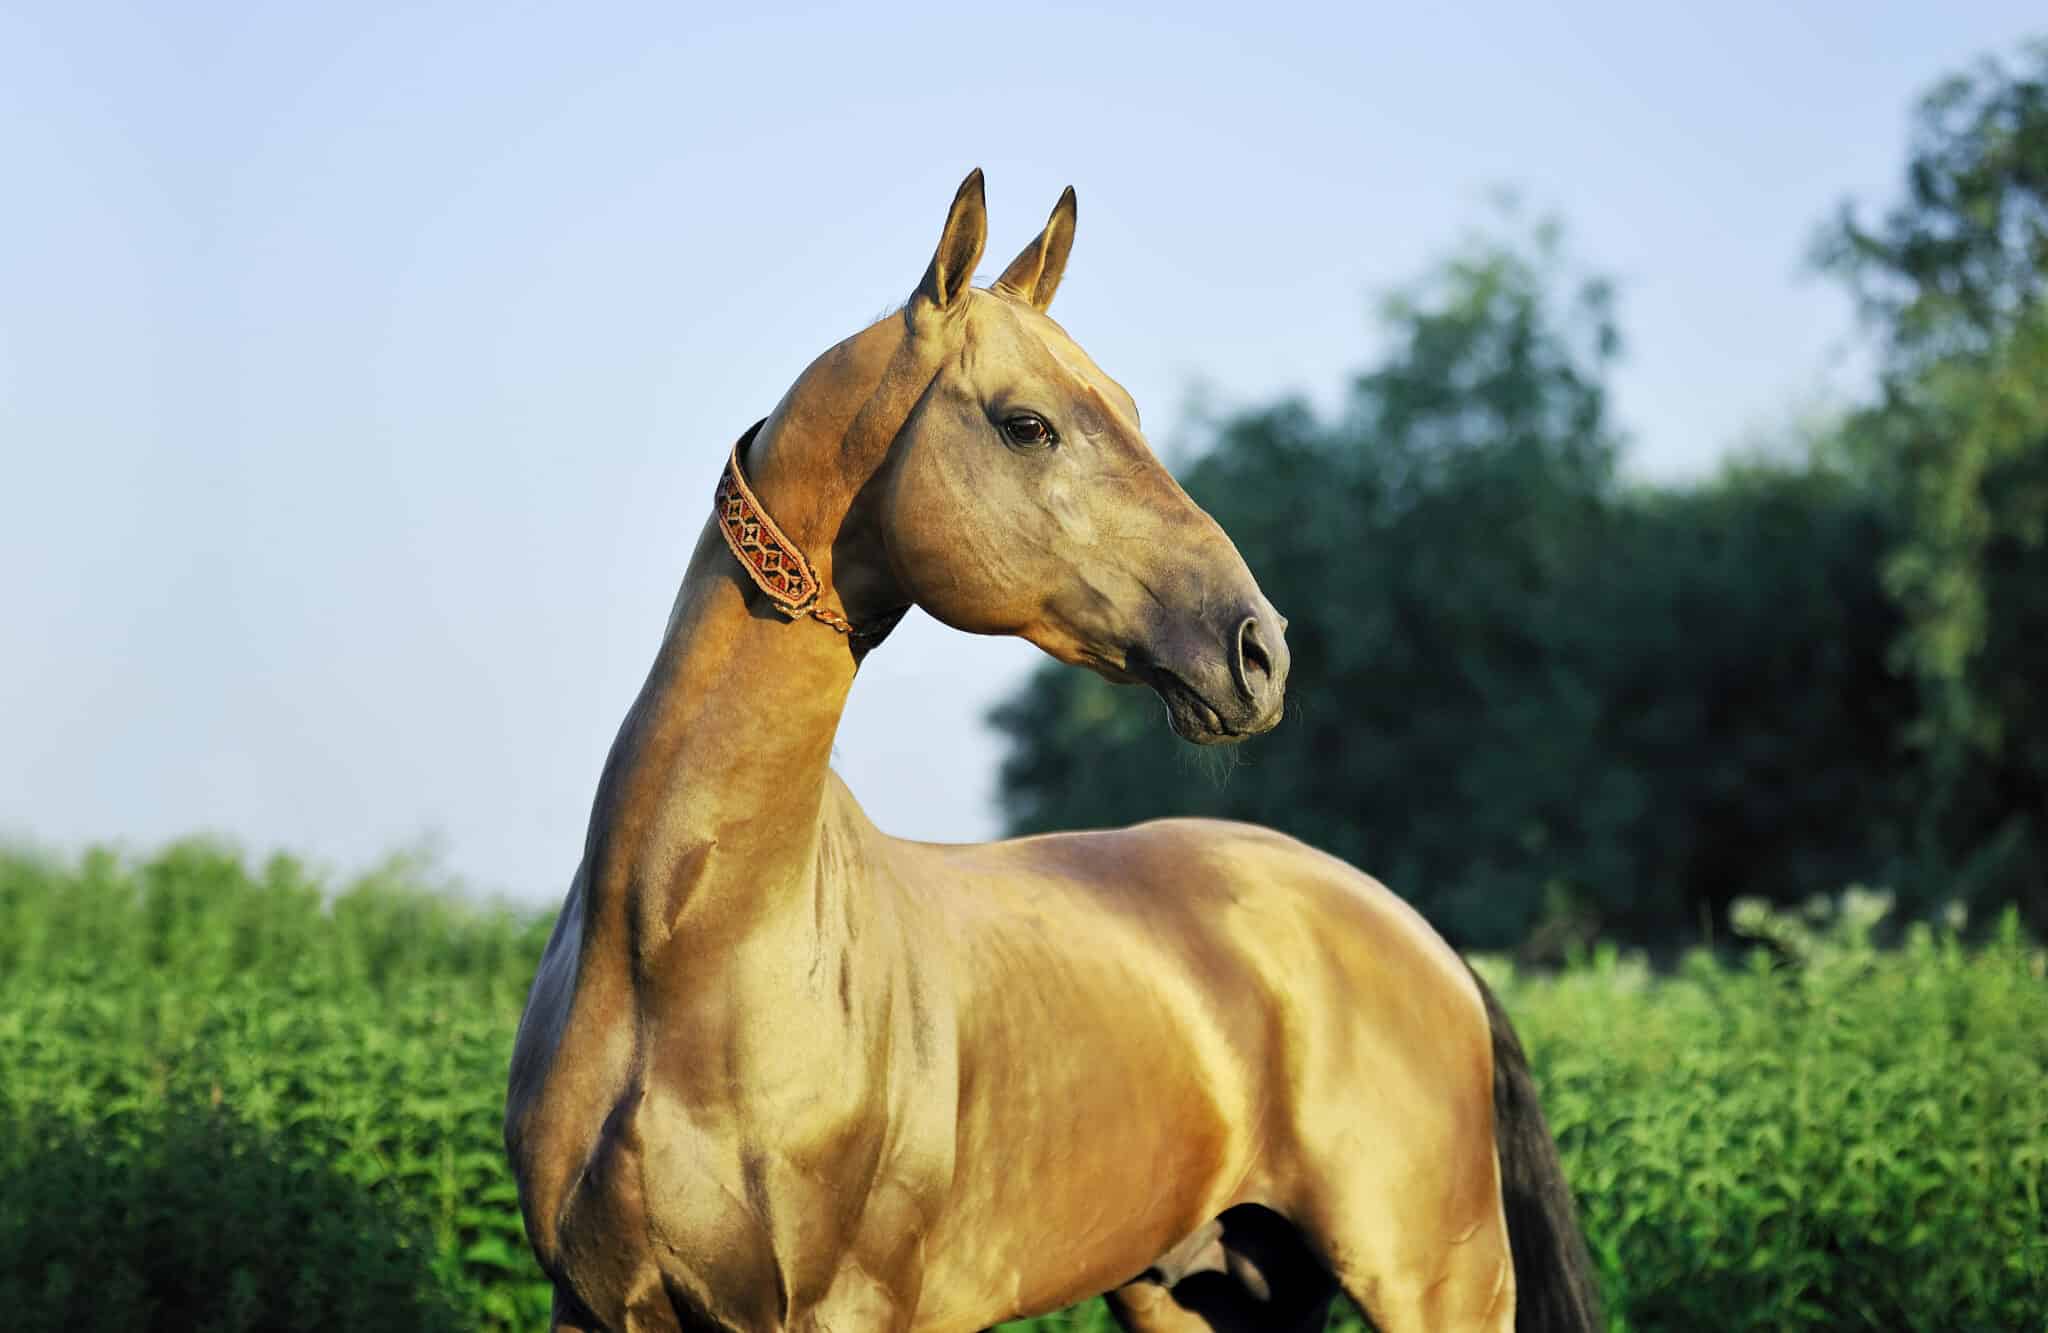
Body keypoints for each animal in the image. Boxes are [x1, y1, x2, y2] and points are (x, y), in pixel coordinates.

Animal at [505, 170, 1601, 1333]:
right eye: (1027, 425)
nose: (1258, 649)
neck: (678, 953)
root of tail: (1427, 946)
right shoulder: (593, 1309)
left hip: (1433, 1287)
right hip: (1202, 1293)